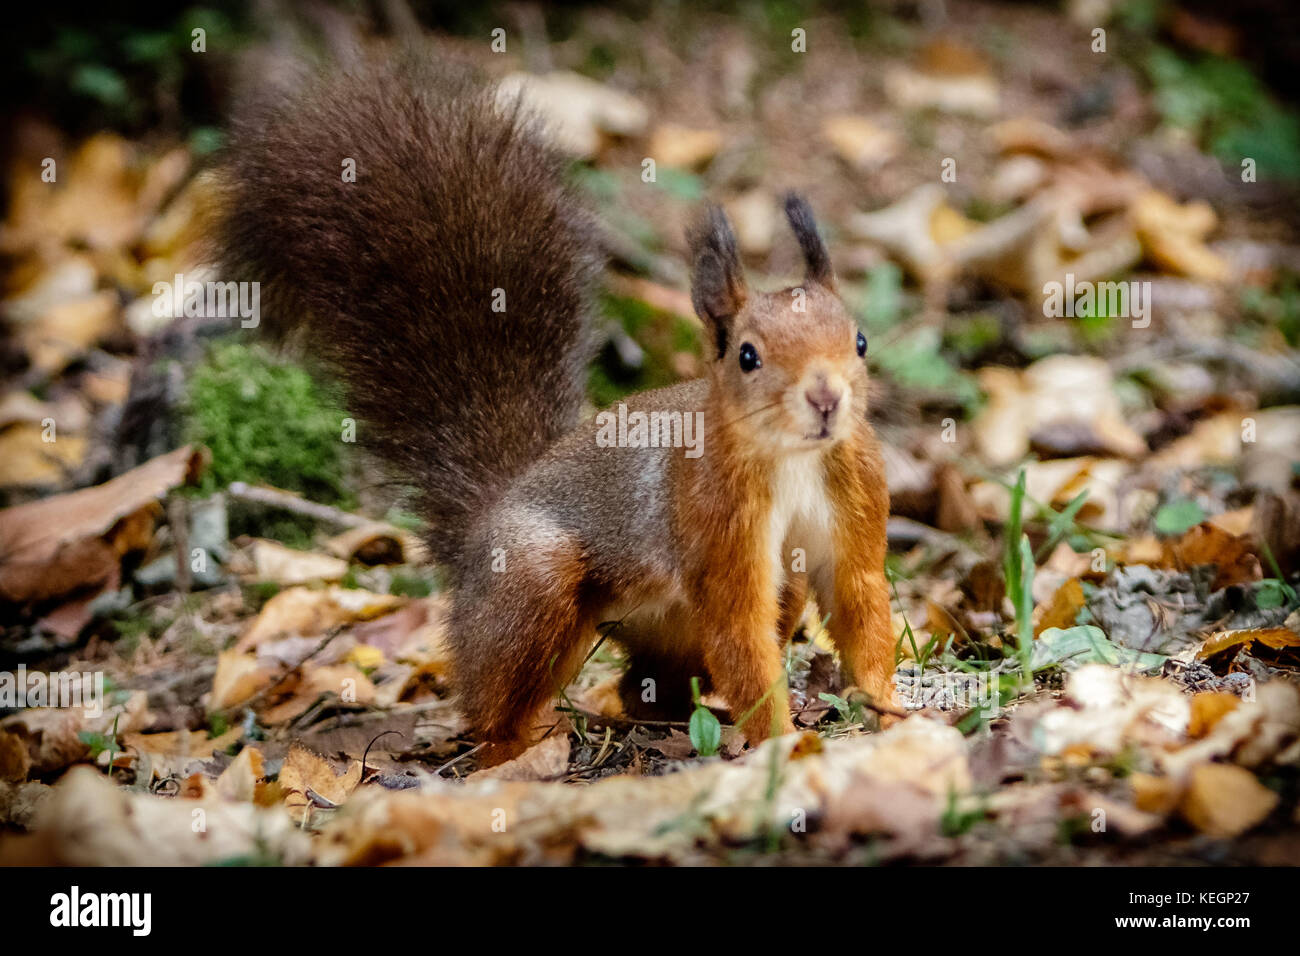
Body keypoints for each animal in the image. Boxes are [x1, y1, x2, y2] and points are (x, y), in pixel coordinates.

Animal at [217, 51, 899, 763]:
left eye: (859, 340)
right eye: (747, 356)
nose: (826, 397)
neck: (793, 457)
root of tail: (485, 522)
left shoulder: (855, 496)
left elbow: (861, 603)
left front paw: (891, 712)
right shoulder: (714, 522)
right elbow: (743, 636)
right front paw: (783, 745)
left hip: (717, 615)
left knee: (646, 688)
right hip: (533, 580)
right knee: (490, 709)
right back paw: (524, 745)